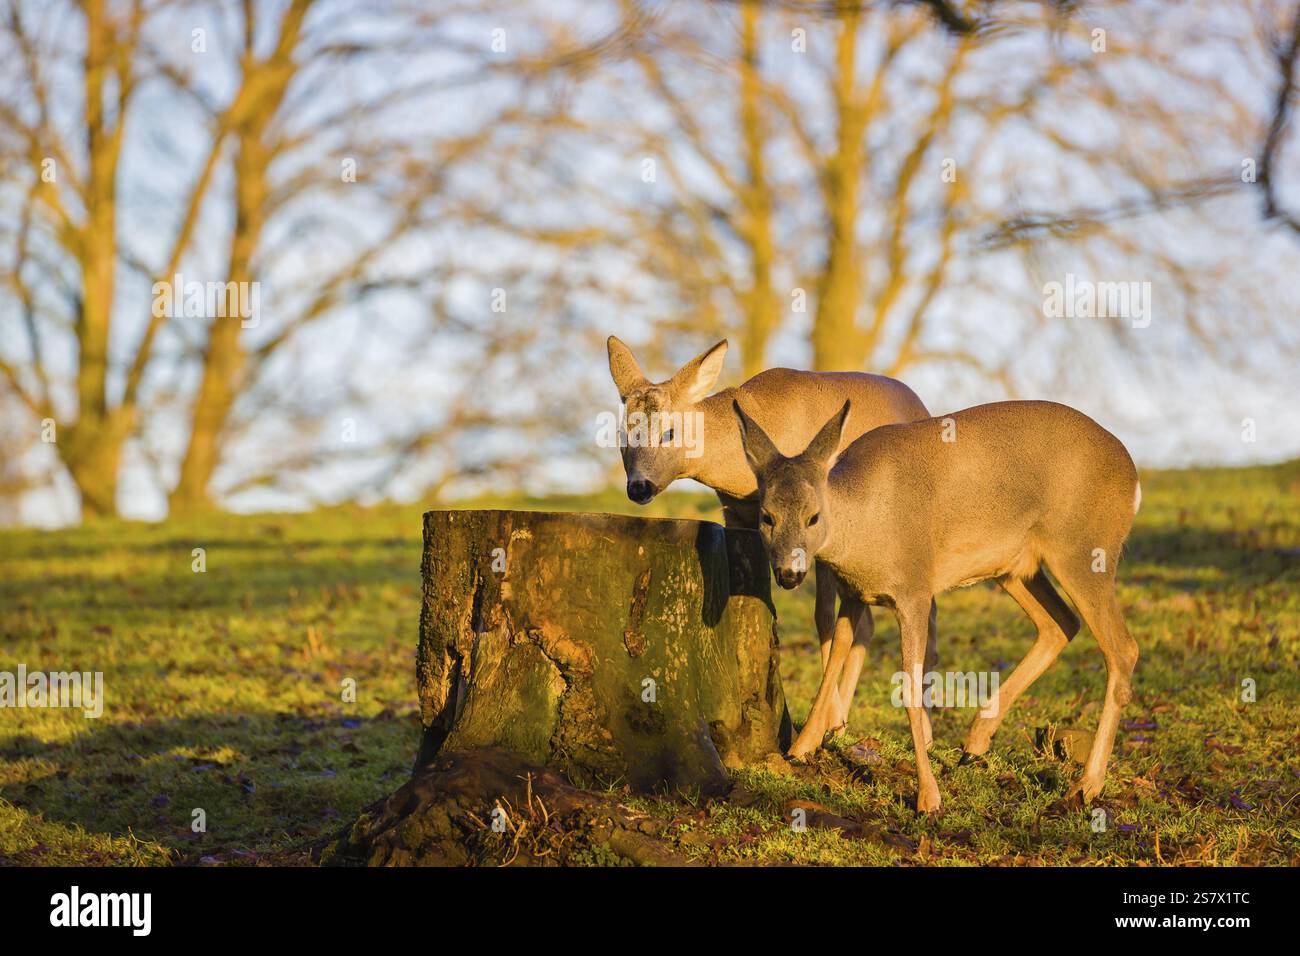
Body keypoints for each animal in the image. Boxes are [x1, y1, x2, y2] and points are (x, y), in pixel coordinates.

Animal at [606, 336, 1080, 749]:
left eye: (669, 431)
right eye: (622, 434)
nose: (638, 487)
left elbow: (823, 617)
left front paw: (826, 720)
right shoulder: (740, 518)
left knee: (923, 620)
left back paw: (916, 730)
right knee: (871, 623)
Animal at [734, 398, 1140, 813]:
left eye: (813, 517)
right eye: (766, 516)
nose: (788, 573)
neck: (865, 527)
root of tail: (1132, 473)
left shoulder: (915, 590)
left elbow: (910, 689)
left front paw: (928, 796)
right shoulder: (853, 593)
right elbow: (834, 656)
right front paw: (802, 747)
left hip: (1084, 551)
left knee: (1123, 648)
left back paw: (1086, 785)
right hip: (1015, 567)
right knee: (1061, 624)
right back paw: (976, 743)